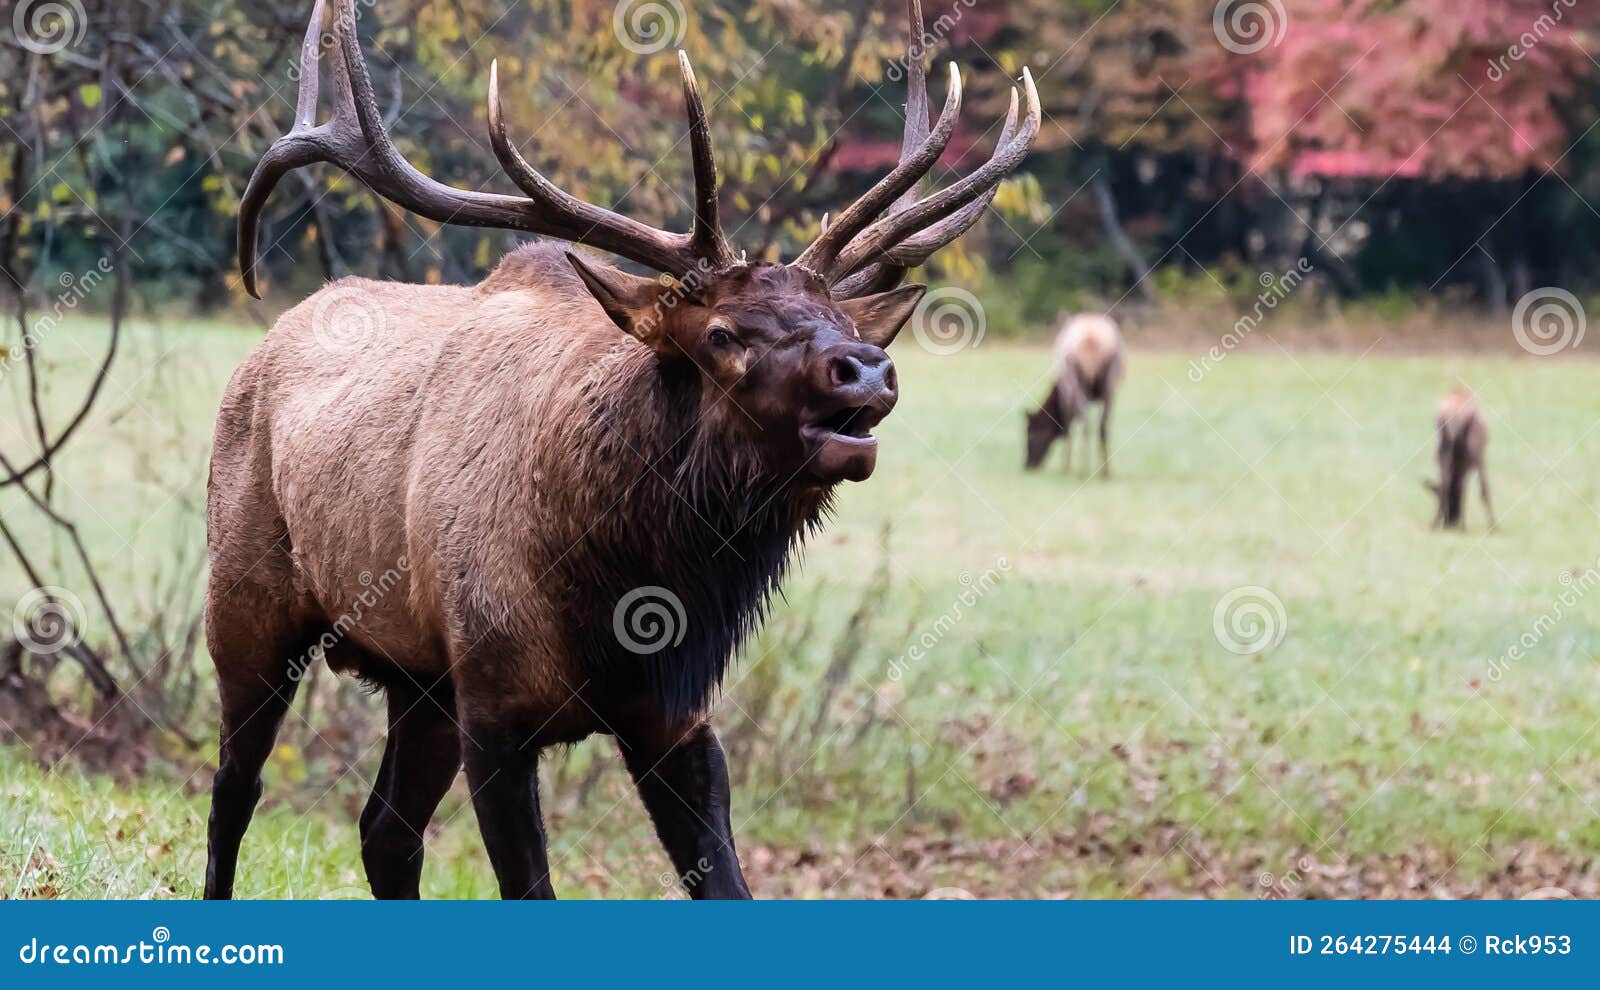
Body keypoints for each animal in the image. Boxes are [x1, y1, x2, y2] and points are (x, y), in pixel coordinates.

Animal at [204, 0, 1038, 900]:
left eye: (846, 322)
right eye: (720, 334)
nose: (866, 367)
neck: (622, 599)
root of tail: (267, 341)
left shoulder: (674, 717)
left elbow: (728, 883)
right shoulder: (493, 705)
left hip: (418, 680)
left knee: (385, 830)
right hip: (248, 606)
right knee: (234, 790)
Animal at [1024, 313, 1124, 476]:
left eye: (1030, 433)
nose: (1027, 465)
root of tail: (1091, 341)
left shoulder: (1066, 392)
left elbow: (1066, 428)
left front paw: (1065, 468)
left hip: (1076, 382)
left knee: (1085, 424)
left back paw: (1082, 470)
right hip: (1110, 383)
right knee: (1102, 426)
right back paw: (1105, 472)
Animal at [1427, 386, 1495, 530]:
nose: (1450, 521)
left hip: (1443, 450)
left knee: (1446, 480)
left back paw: (1434, 524)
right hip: (1476, 453)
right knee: (1478, 485)